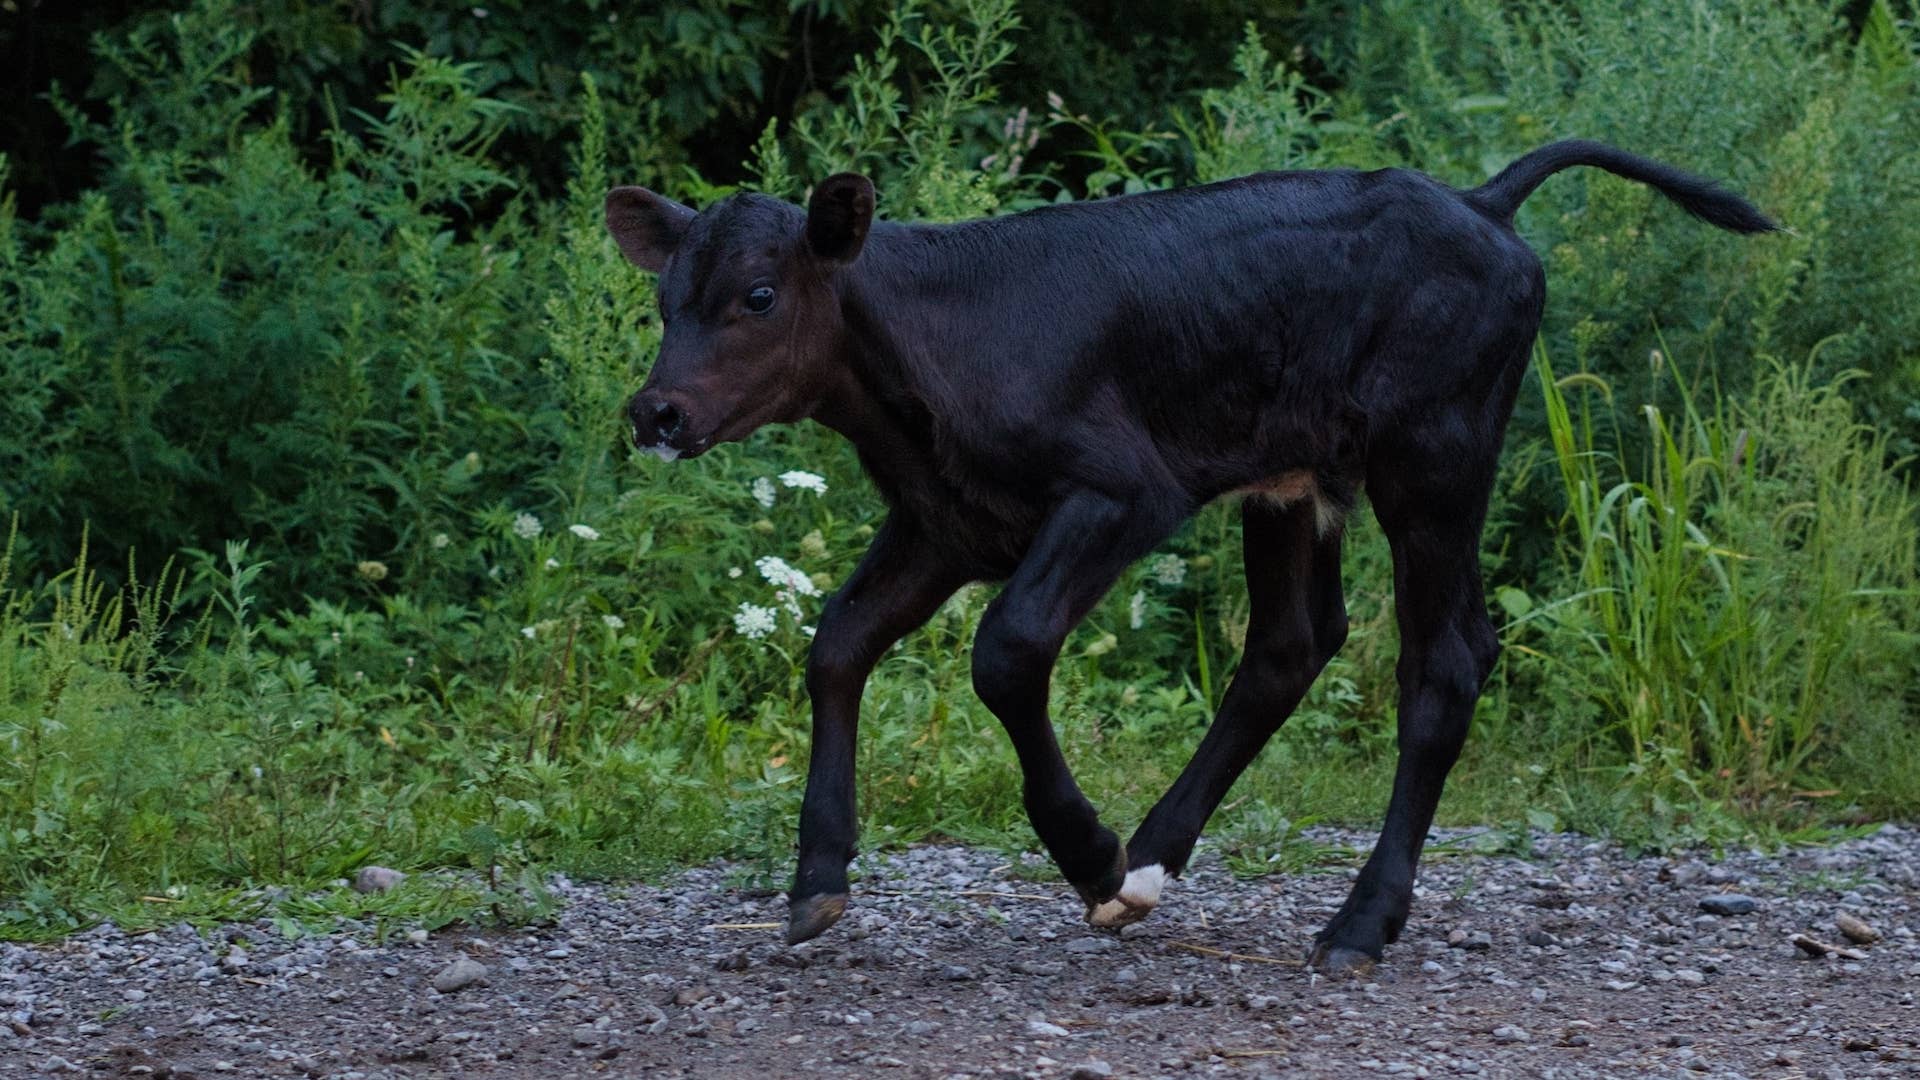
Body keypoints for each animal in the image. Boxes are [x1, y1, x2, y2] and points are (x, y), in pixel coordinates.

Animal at [605, 139, 1775, 975]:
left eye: (758, 295)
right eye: (664, 302)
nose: (655, 412)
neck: (923, 371)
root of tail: (1479, 202)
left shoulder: (1125, 488)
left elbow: (1007, 650)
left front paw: (1086, 851)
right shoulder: (945, 519)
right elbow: (836, 645)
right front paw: (816, 875)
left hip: (1436, 457)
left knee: (1444, 661)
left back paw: (1355, 924)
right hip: (1297, 478)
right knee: (1291, 646)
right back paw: (1158, 861)